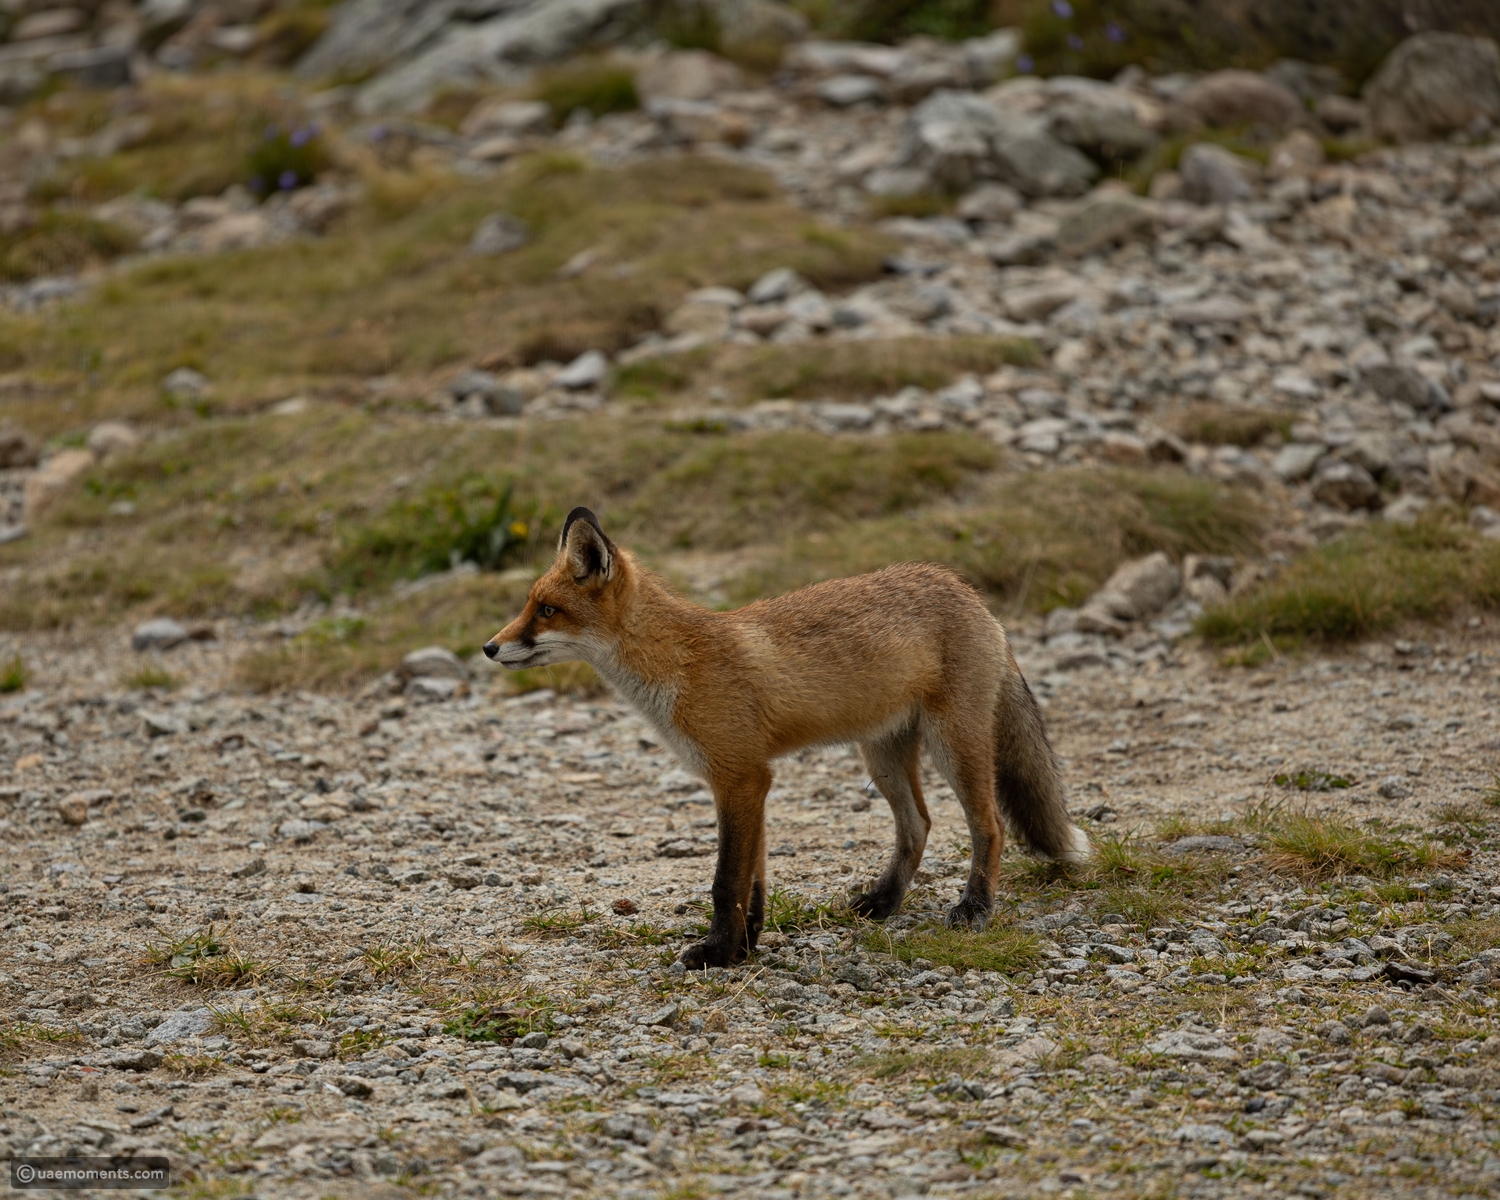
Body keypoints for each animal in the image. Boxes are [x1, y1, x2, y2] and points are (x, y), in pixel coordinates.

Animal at [483, 507, 1090, 969]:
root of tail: (969, 591)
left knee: (988, 826)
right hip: (882, 755)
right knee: (918, 824)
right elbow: (753, 883)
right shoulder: (748, 782)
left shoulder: (741, 778)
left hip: (953, 744)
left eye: (547, 610)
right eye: (528, 605)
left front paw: (716, 954)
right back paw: (884, 901)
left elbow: (726, 882)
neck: (680, 664)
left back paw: (975, 908)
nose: (489, 647)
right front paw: (744, 948)